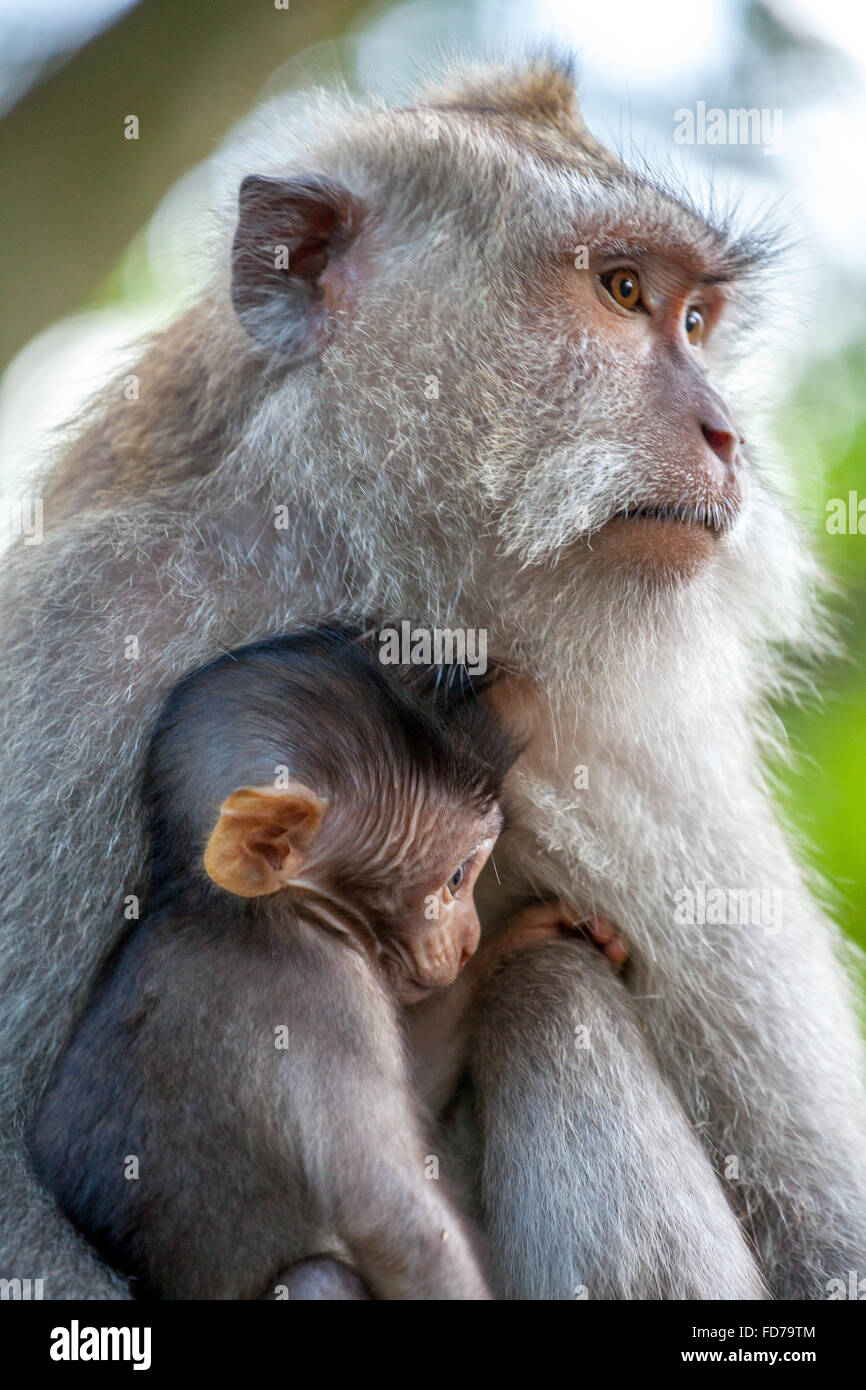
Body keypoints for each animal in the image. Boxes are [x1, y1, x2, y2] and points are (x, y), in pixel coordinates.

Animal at [28, 626, 524, 1299]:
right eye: (454, 878)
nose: (470, 939)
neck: (257, 912)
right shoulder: (321, 999)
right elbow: (395, 1219)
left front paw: (518, 938)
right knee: (320, 1275)